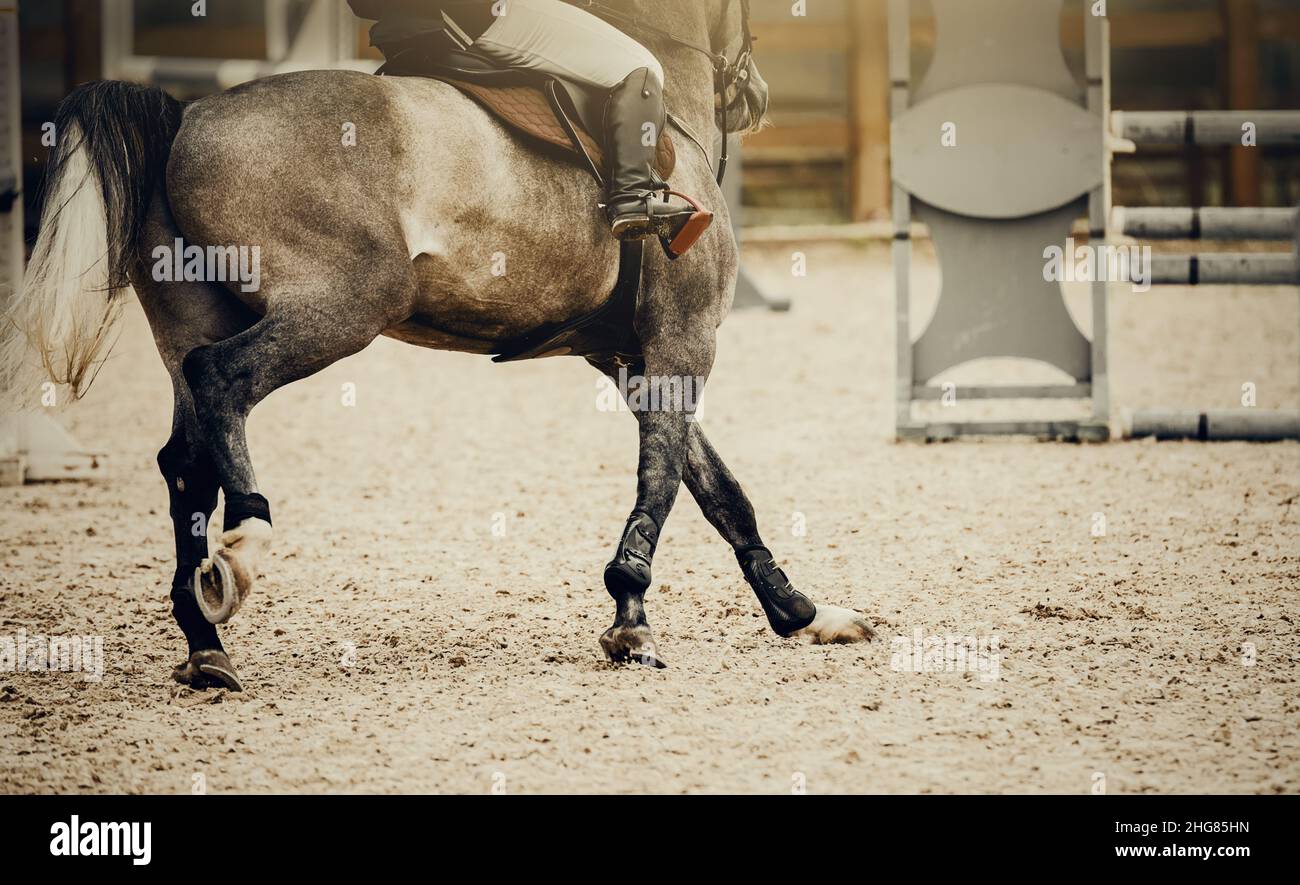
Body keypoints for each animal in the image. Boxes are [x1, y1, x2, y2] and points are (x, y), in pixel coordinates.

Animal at [1, 0, 873, 691]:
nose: (756, 96)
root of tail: (184, 117)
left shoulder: (630, 358)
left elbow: (720, 489)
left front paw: (803, 612)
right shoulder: (682, 337)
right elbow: (663, 478)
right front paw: (631, 615)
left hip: (196, 315)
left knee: (185, 460)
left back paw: (205, 639)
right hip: (346, 304)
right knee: (222, 384)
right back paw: (247, 543)